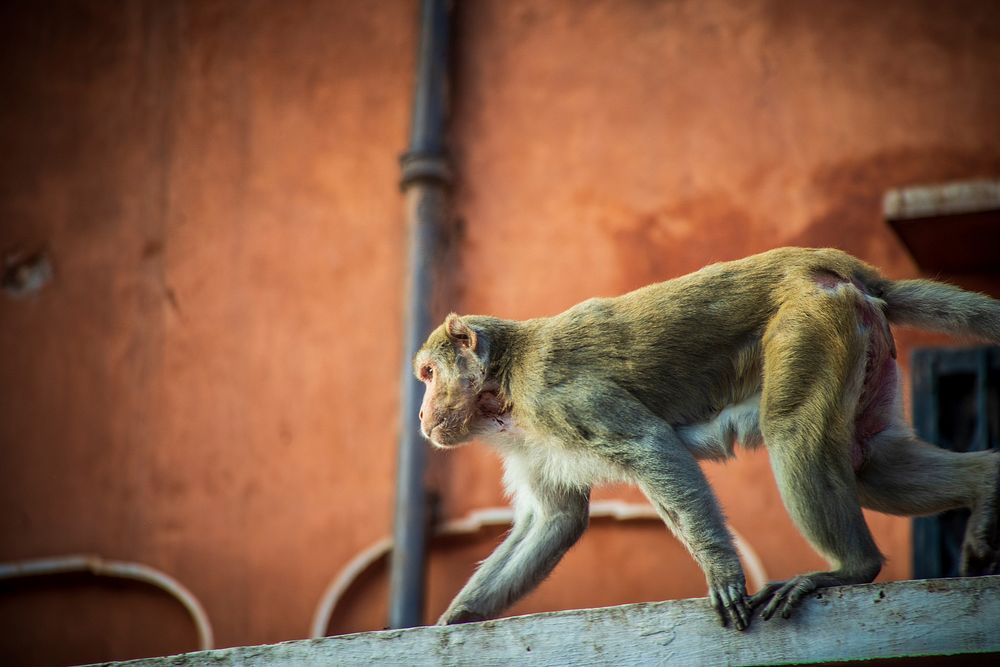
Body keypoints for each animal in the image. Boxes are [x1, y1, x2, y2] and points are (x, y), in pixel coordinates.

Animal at [413, 247, 1000, 631]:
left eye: (428, 374)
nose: (420, 414)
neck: (505, 387)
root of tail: (830, 265)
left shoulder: (559, 396)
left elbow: (652, 448)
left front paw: (722, 571)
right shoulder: (531, 443)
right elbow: (556, 520)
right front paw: (458, 618)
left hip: (811, 325)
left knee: (793, 430)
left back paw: (852, 570)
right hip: (861, 341)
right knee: (868, 458)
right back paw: (985, 484)